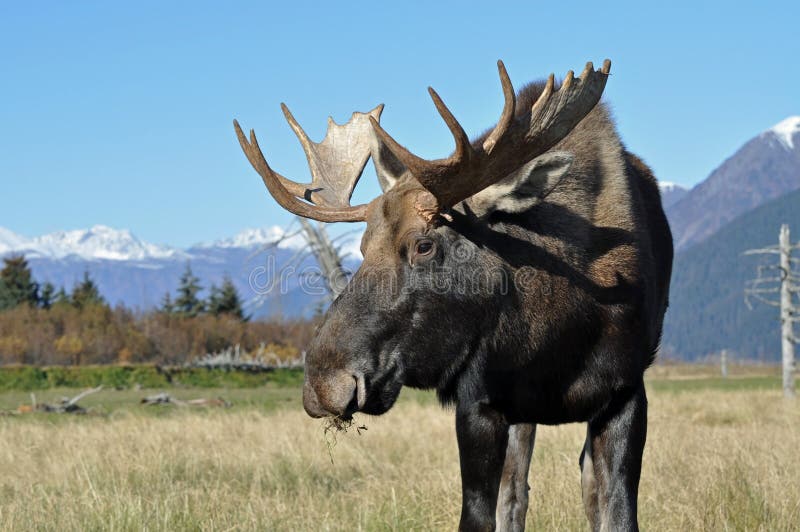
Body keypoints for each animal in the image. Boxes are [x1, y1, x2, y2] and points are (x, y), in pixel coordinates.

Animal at [234, 59, 673, 531]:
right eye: (363, 245)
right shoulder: (481, 402)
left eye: (424, 245)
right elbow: (481, 513)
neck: (564, 332)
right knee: (515, 493)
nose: (323, 383)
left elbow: (617, 512)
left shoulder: (626, 392)